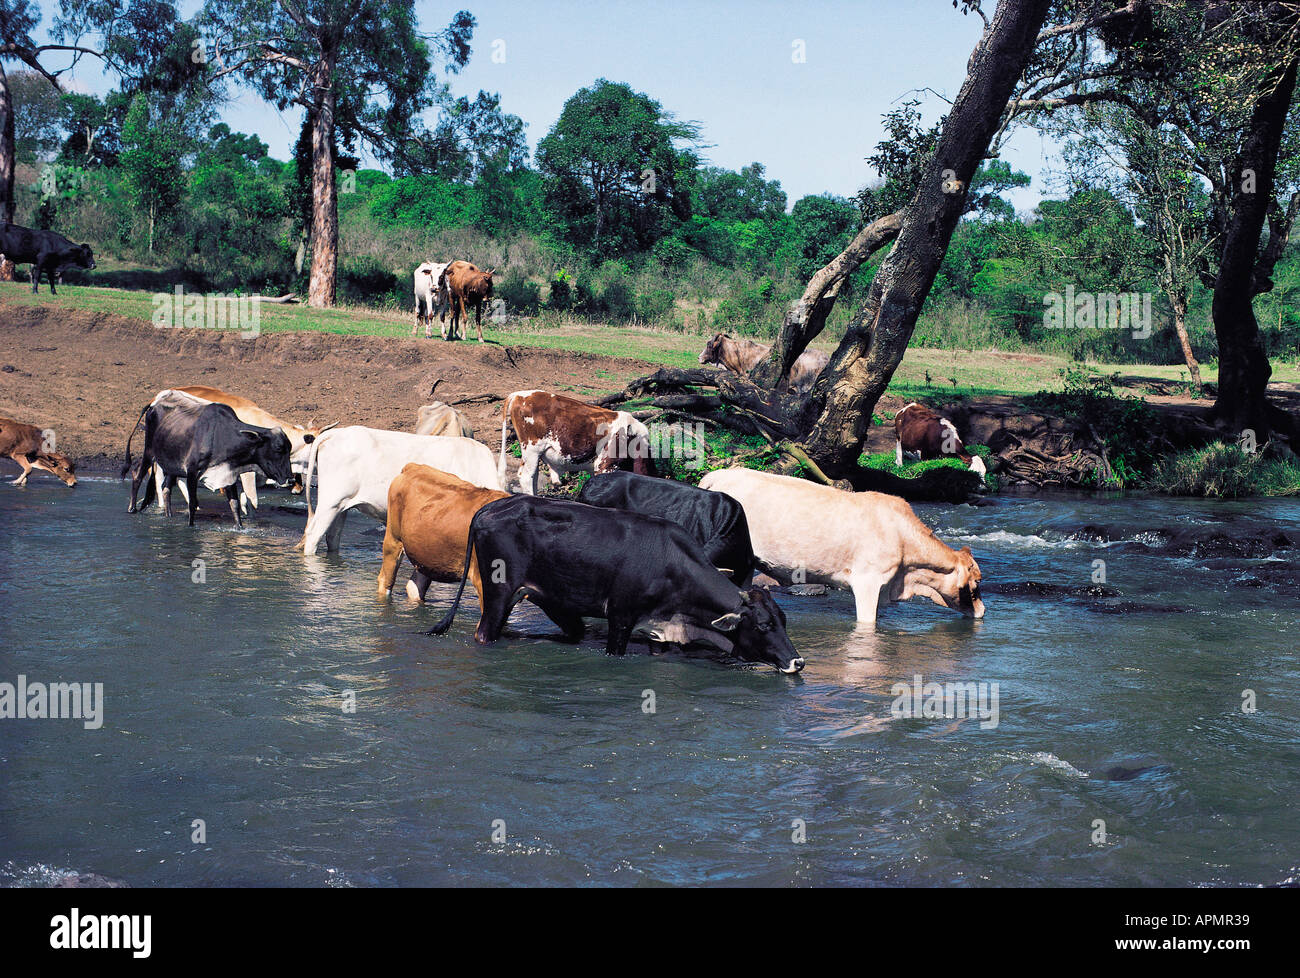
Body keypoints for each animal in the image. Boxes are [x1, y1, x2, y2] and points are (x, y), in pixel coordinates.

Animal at [121, 392, 292, 527]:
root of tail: (153, 404)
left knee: (166, 489)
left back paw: (168, 516)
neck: (222, 436)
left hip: (171, 465)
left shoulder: (228, 474)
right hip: (149, 451)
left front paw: (239, 528)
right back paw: (132, 509)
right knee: (138, 475)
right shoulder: (191, 473)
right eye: (278, 448)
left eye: (289, 450)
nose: (290, 478)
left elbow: (235, 506)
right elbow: (192, 506)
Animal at [428, 494, 805, 674]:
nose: (797, 662)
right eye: (764, 624)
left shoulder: (659, 630)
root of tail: (489, 508)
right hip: (498, 594)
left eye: (784, 621)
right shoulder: (621, 619)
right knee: (484, 633)